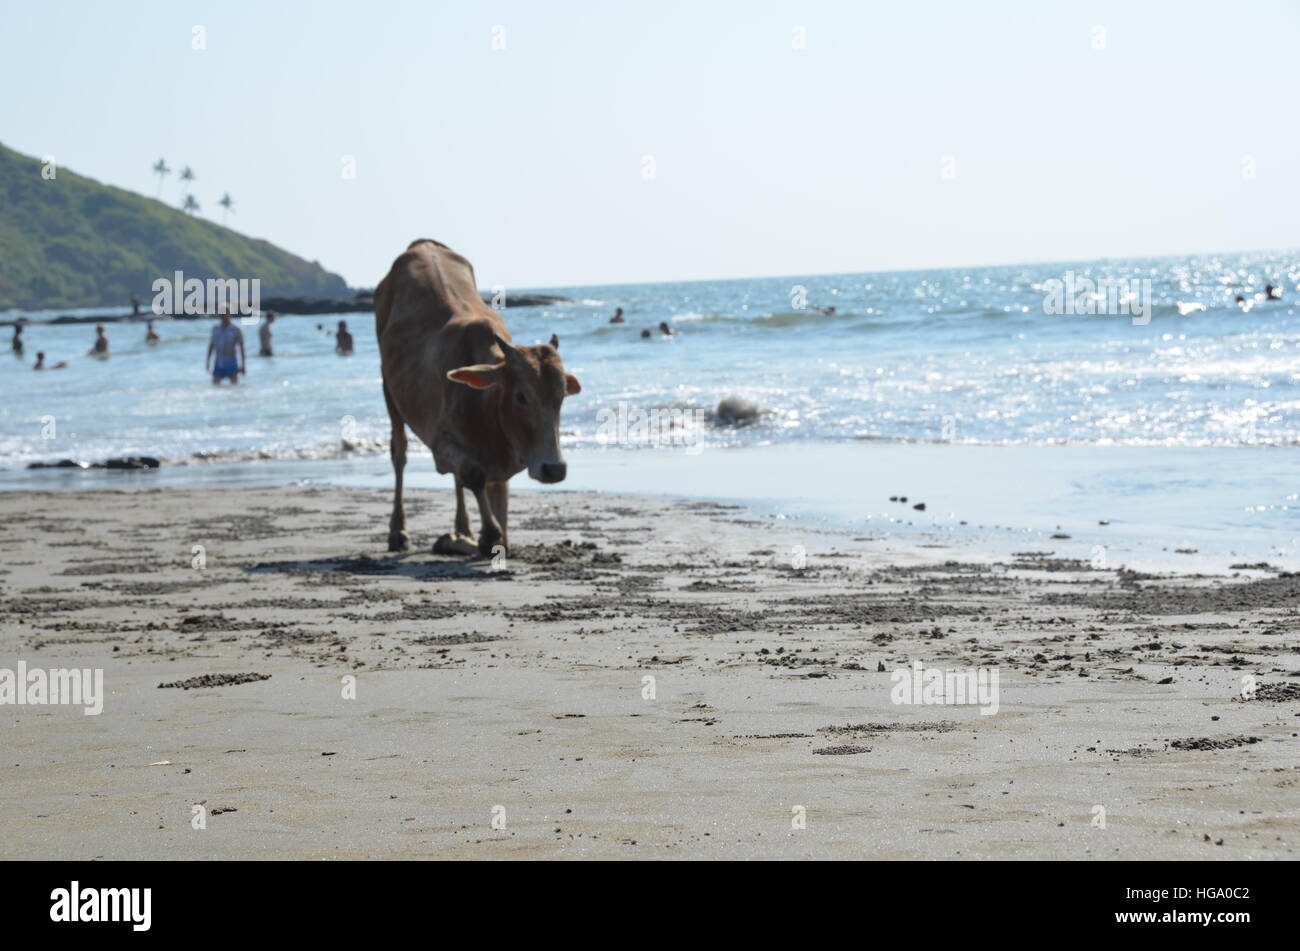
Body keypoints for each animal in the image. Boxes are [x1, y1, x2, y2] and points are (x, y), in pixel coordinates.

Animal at [374, 239, 581, 557]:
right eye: (521, 396)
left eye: (560, 396)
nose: (554, 469)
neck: (485, 407)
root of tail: (423, 244)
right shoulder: (440, 441)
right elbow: (473, 475)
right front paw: (483, 536)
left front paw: (468, 537)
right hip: (388, 389)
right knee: (400, 454)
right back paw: (398, 531)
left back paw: (463, 528)